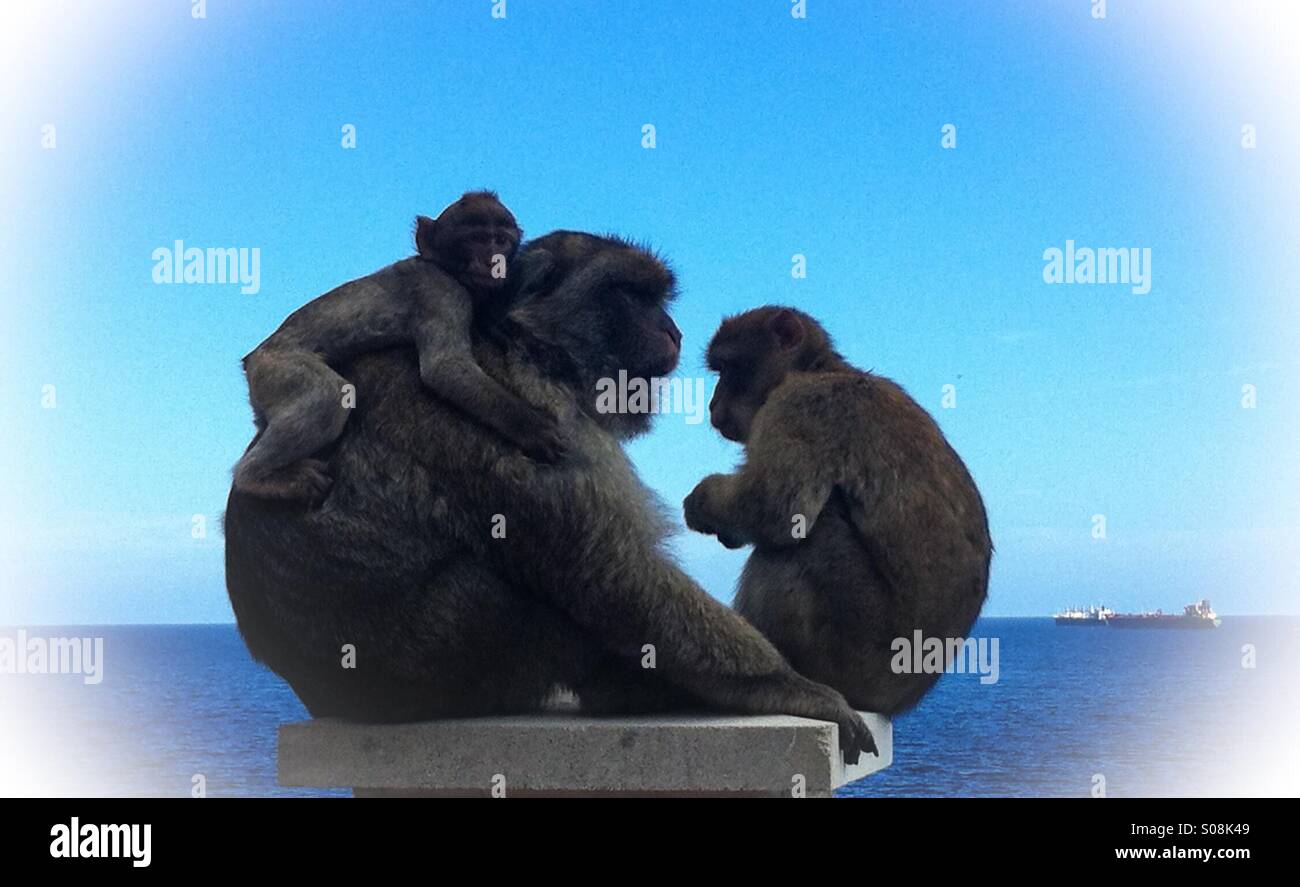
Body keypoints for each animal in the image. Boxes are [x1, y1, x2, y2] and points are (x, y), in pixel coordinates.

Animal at [224, 235, 877, 764]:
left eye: (657, 297)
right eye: (627, 294)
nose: (672, 330)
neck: (525, 347)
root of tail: (321, 696)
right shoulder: (541, 413)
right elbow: (612, 575)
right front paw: (792, 688)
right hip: (438, 657)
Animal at [232, 190, 565, 504]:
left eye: (501, 240)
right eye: (477, 239)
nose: (494, 259)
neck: (443, 266)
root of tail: (252, 359)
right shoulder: (441, 291)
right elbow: (445, 367)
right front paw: (532, 427)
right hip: (277, 365)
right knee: (328, 393)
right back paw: (256, 477)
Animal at [683, 306, 992, 714]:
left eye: (727, 368)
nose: (712, 404)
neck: (819, 369)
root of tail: (897, 700)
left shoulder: (801, 404)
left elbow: (775, 508)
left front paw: (701, 504)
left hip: (857, 647)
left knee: (809, 540)